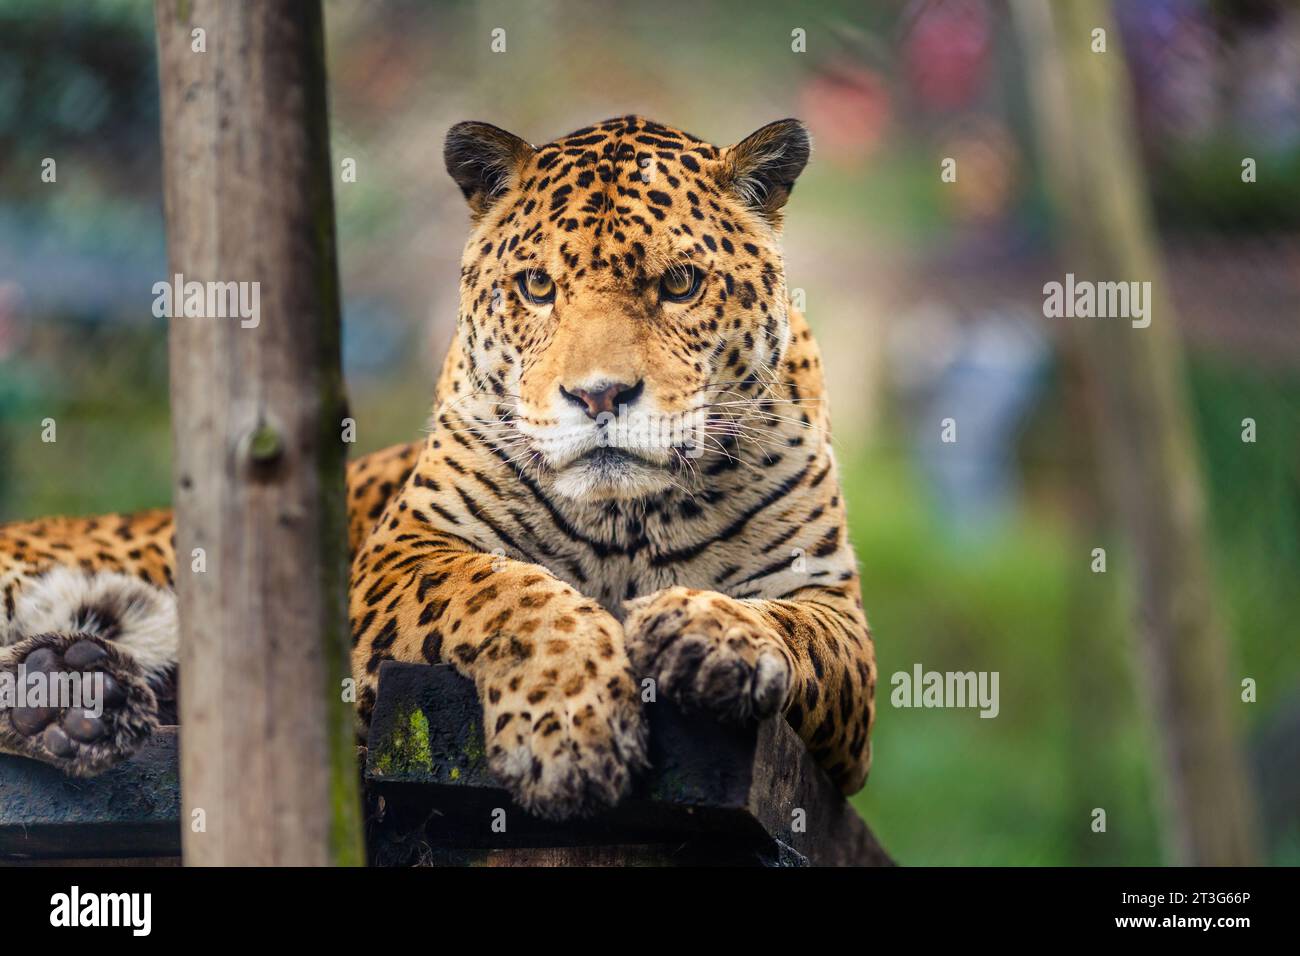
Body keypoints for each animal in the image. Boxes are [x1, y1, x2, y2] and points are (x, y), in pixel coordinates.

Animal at [0, 116, 877, 822]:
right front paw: (572, 728)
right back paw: (66, 689)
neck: (626, 521)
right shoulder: (401, 553)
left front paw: (709, 630)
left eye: (681, 284)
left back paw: (74, 692)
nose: (599, 396)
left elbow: (796, 629)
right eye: (537, 287)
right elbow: (507, 588)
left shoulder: (834, 613)